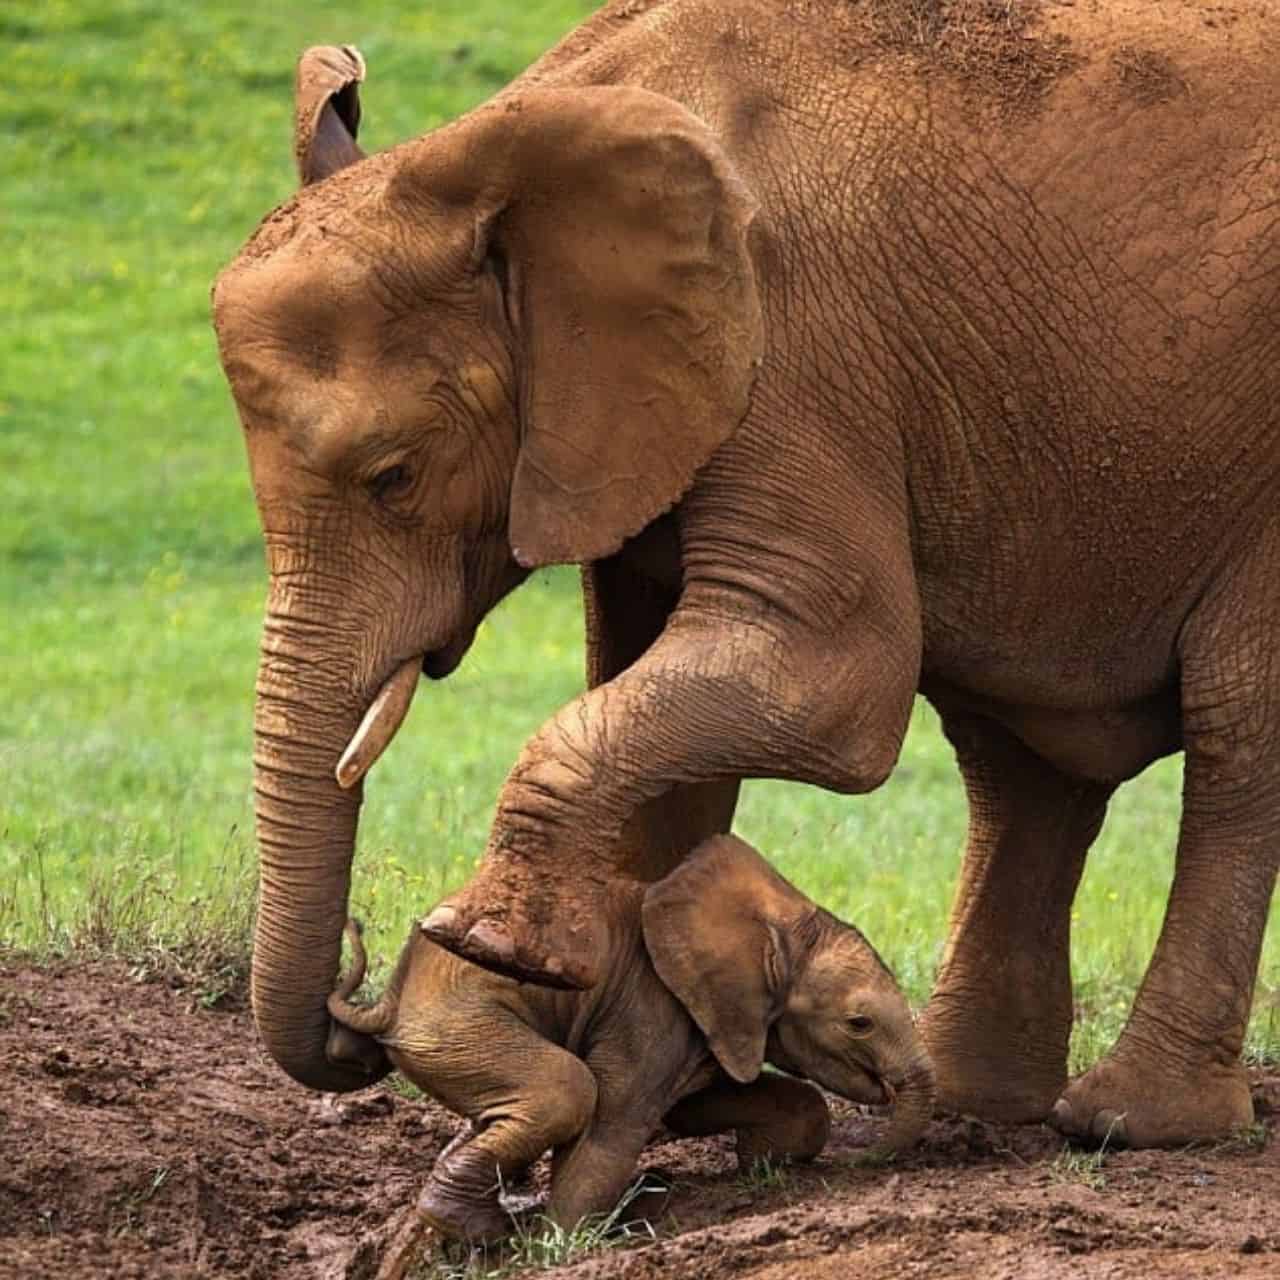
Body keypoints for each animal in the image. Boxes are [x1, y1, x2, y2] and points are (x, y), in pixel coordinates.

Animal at [212, 2, 1280, 1149]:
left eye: (394, 476)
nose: (352, 1018)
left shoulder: (800, 346)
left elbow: (827, 680)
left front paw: (488, 943)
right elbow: (646, 689)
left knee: (1233, 726)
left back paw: (1134, 1122)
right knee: (1016, 762)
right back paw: (978, 1100)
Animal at [325, 834, 933, 1240]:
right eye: (859, 1023)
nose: (862, 1161)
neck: (779, 926)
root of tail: (389, 1003)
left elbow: (694, 1105)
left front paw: (762, 1158)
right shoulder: (651, 1004)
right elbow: (615, 1124)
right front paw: (558, 1243)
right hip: (458, 1022)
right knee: (565, 1090)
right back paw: (477, 1228)